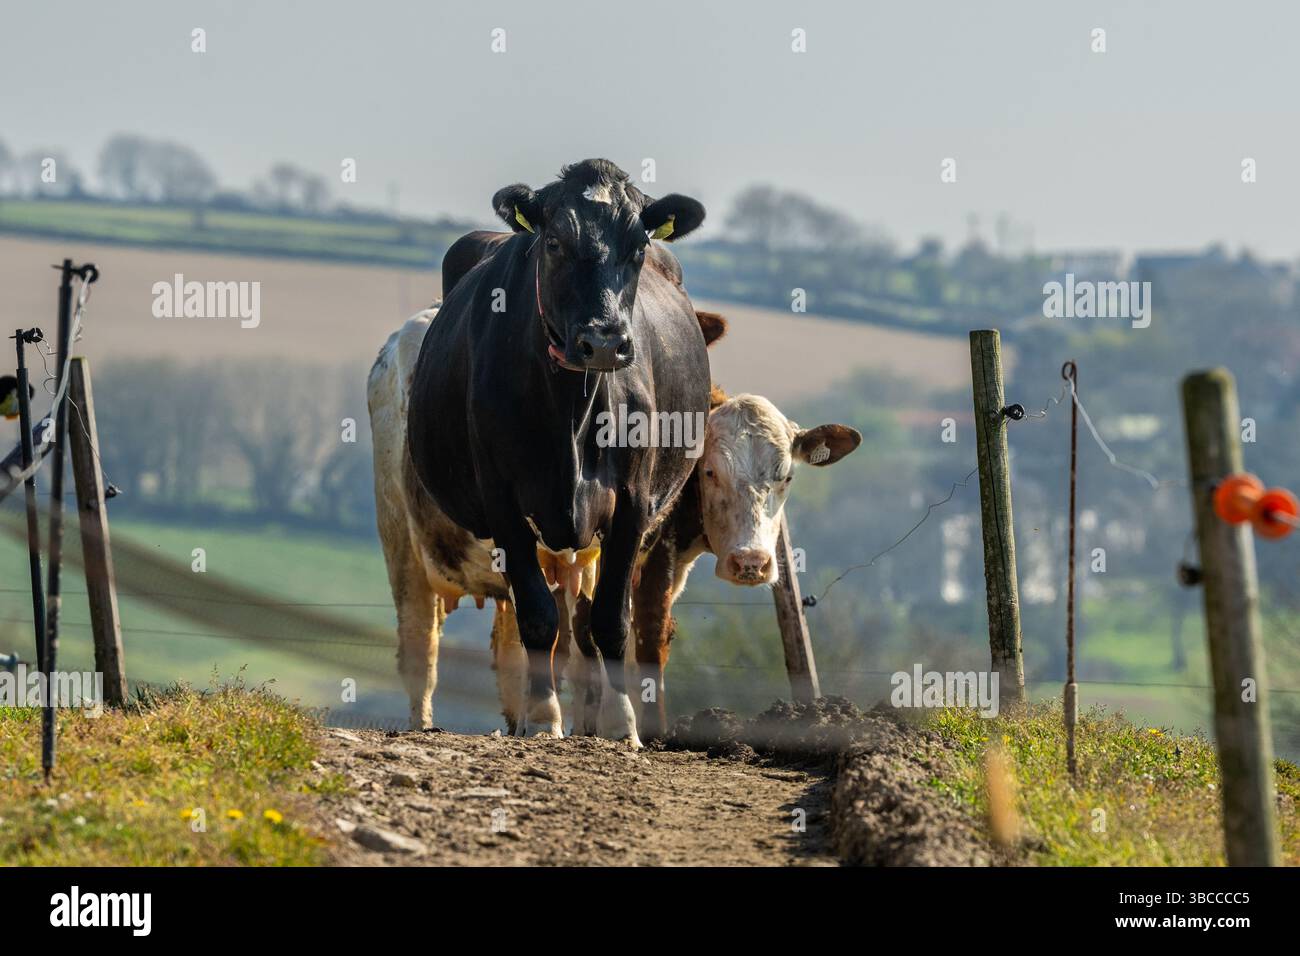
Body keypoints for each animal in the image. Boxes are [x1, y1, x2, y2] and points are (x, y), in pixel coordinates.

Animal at [388, 159, 710, 746]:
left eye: (637, 246)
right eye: (556, 242)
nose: (604, 341)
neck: (572, 412)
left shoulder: (633, 501)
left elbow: (610, 619)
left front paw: (622, 725)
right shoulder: (503, 502)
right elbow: (538, 617)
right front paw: (543, 717)